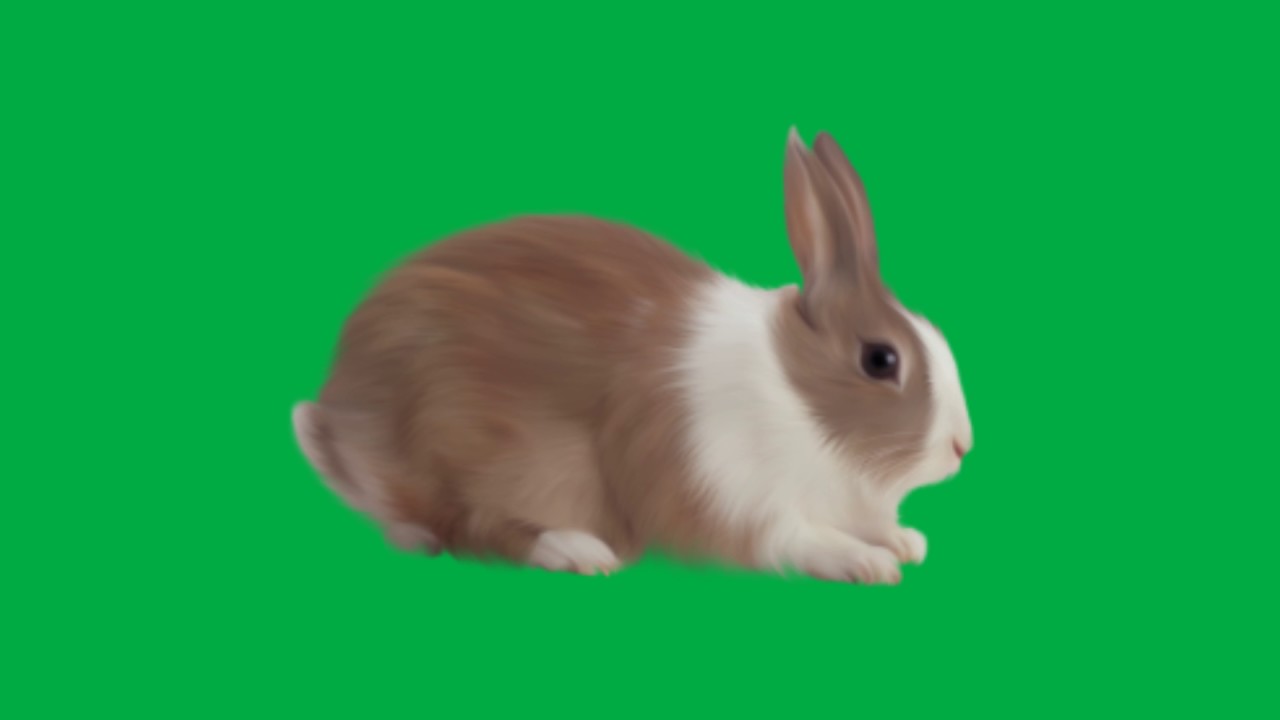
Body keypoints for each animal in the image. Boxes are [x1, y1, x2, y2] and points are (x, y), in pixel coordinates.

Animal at [292, 128, 972, 584]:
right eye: (881, 361)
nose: (961, 447)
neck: (795, 393)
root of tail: (343, 426)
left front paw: (906, 541)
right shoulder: (728, 498)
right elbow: (795, 538)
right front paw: (868, 562)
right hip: (482, 447)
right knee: (472, 528)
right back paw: (578, 551)